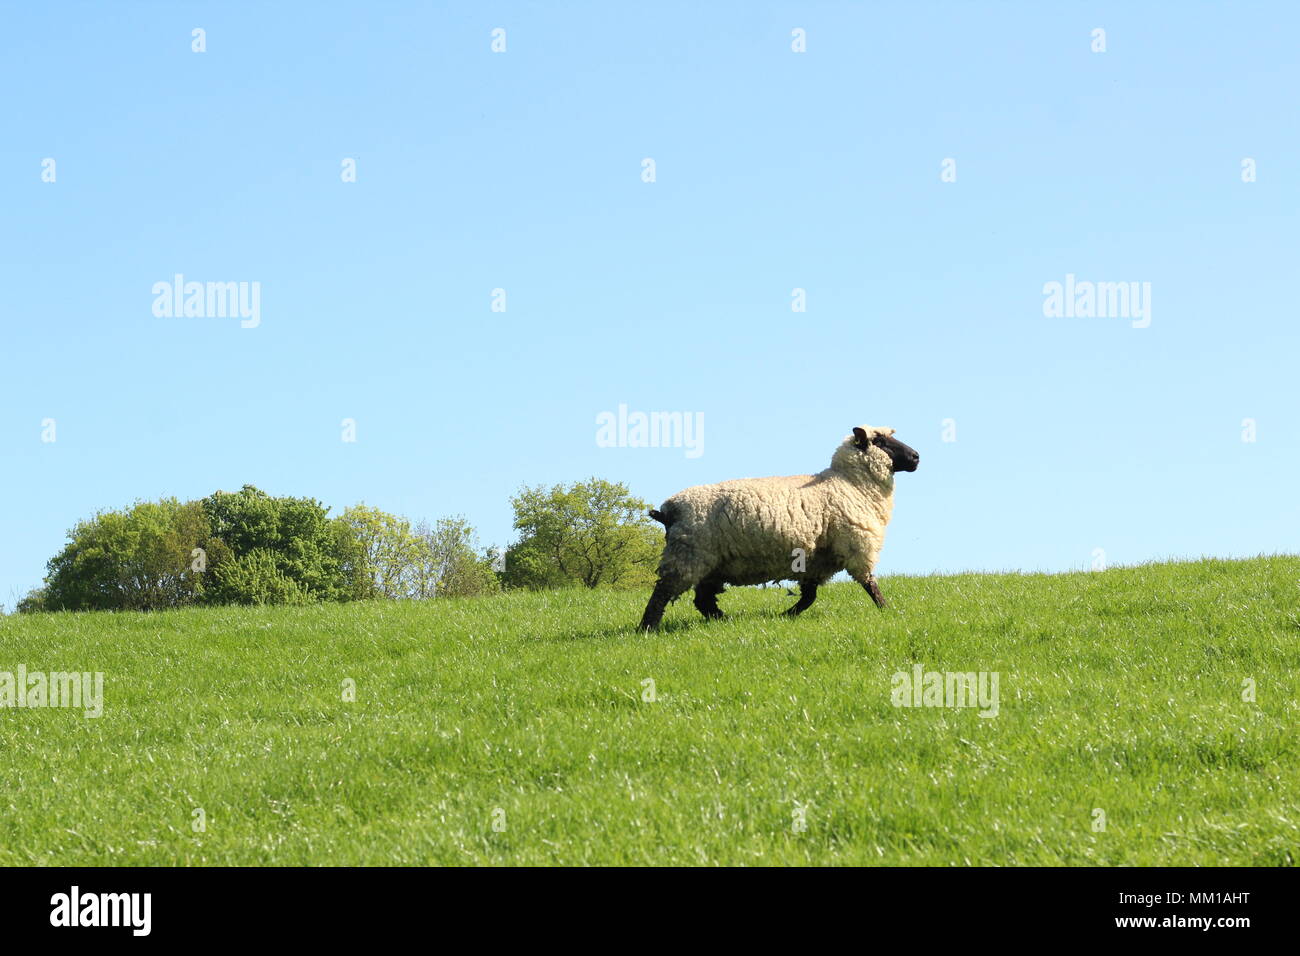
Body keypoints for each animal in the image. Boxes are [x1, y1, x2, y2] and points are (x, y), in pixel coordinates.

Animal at [638, 425, 919, 630]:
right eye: (880, 441)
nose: (916, 456)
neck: (850, 484)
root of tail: (668, 510)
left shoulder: (816, 559)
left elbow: (808, 597)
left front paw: (786, 615)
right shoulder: (856, 545)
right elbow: (870, 584)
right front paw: (887, 610)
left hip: (710, 563)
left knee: (703, 600)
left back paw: (724, 621)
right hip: (689, 555)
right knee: (663, 593)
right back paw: (647, 628)